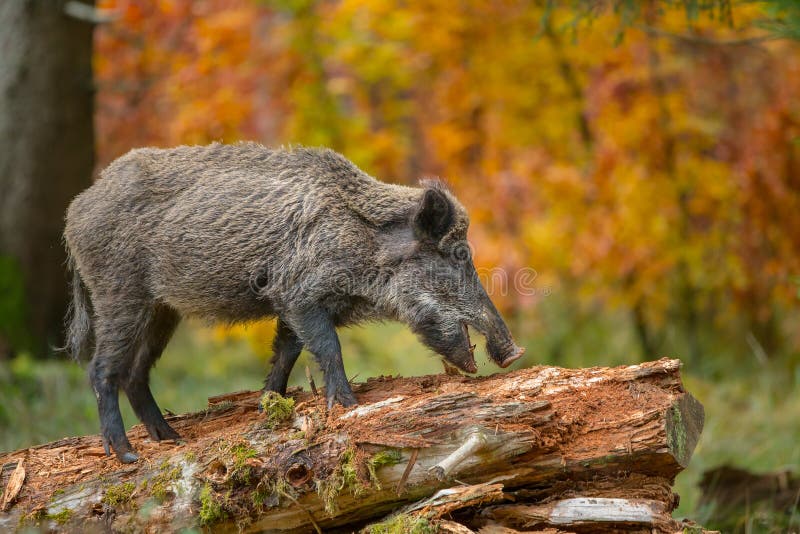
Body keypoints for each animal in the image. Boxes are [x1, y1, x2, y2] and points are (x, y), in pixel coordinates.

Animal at [63, 143, 524, 463]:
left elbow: (287, 351)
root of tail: (74, 212)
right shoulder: (298, 294)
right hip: (119, 293)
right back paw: (126, 455)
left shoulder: (290, 305)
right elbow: (327, 347)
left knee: (136, 372)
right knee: (101, 370)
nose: (515, 351)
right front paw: (348, 407)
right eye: (459, 254)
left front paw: (269, 405)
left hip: (162, 310)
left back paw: (172, 439)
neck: (365, 247)